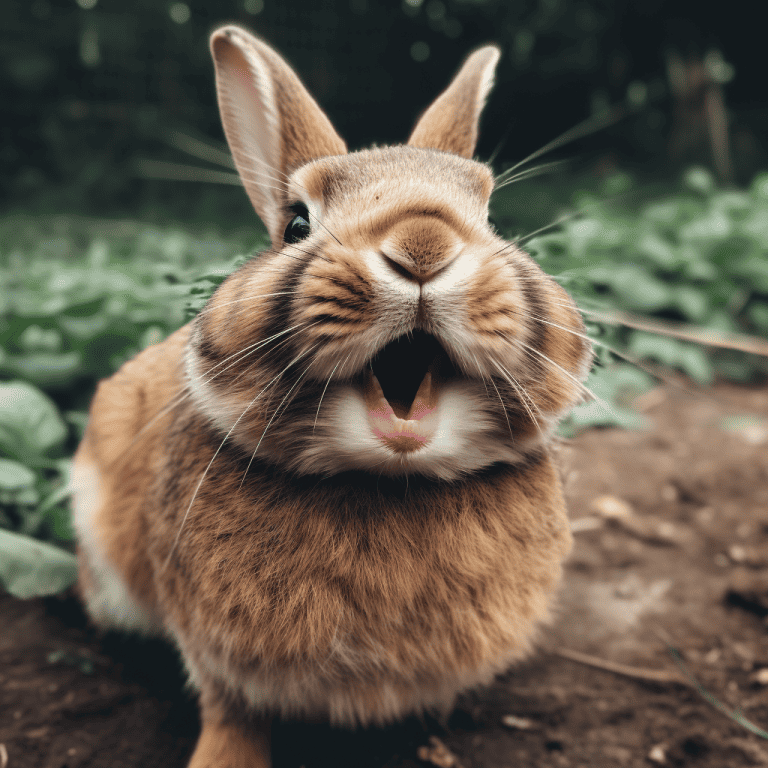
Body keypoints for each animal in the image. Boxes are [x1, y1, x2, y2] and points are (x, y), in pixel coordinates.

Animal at [70, 24, 593, 768]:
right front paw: (220, 759)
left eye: (492, 217)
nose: (423, 244)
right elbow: (230, 714)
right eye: (296, 224)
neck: (386, 479)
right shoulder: (218, 658)